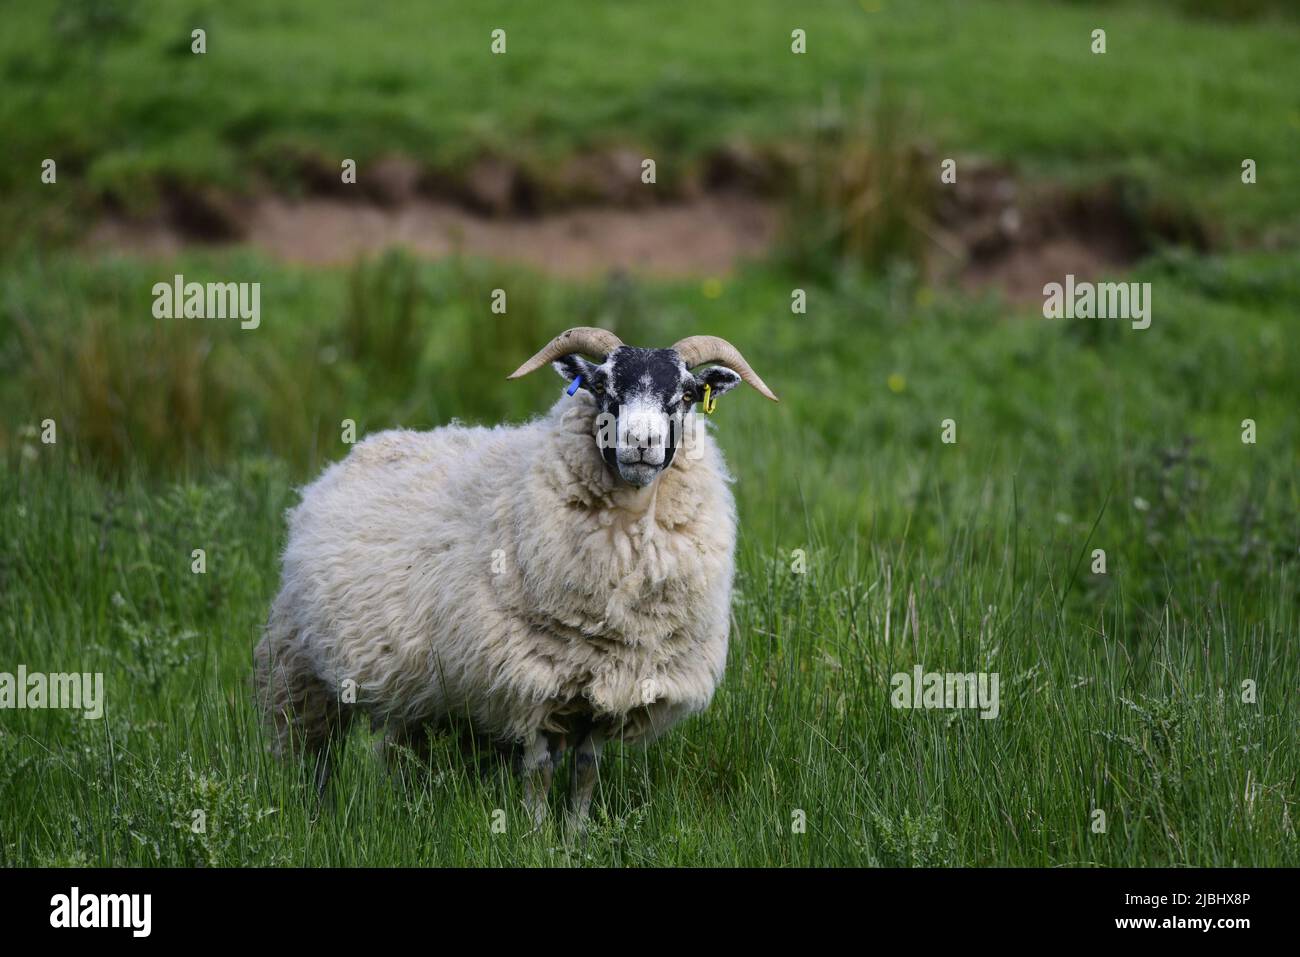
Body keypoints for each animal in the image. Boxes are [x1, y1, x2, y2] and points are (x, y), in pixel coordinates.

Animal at [253, 327, 778, 825]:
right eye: (602, 386)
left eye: (686, 394)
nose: (641, 443)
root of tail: (365, 446)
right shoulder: (531, 683)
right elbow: (540, 774)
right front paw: (535, 836)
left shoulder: (609, 688)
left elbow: (585, 774)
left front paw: (575, 838)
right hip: (299, 666)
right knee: (309, 750)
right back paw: (309, 811)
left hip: (416, 686)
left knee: (400, 750)